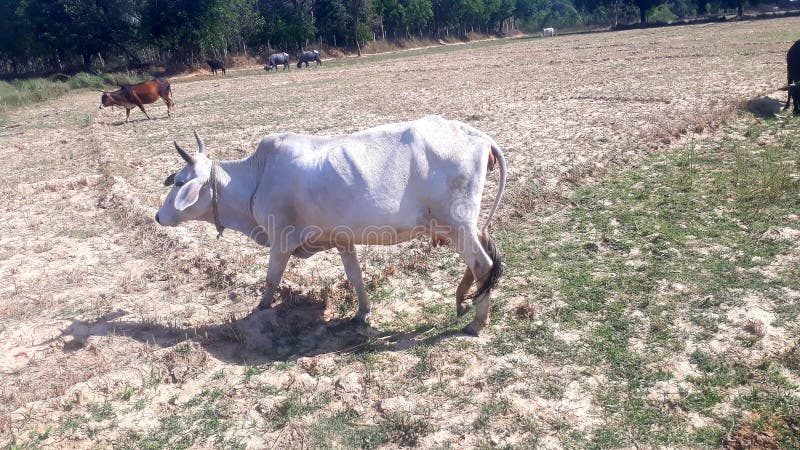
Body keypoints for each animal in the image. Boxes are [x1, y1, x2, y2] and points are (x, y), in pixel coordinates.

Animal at [155, 116, 507, 336]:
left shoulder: (281, 238)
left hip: (458, 225)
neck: (257, 177)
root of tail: (480, 137)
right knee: (480, 264)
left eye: (181, 182)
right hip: (461, 227)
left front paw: (258, 312)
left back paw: (477, 322)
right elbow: (356, 276)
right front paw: (363, 312)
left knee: (483, 264)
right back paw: (463, 302)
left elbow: (270, 280)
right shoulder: (342, 239)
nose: (158, 216)